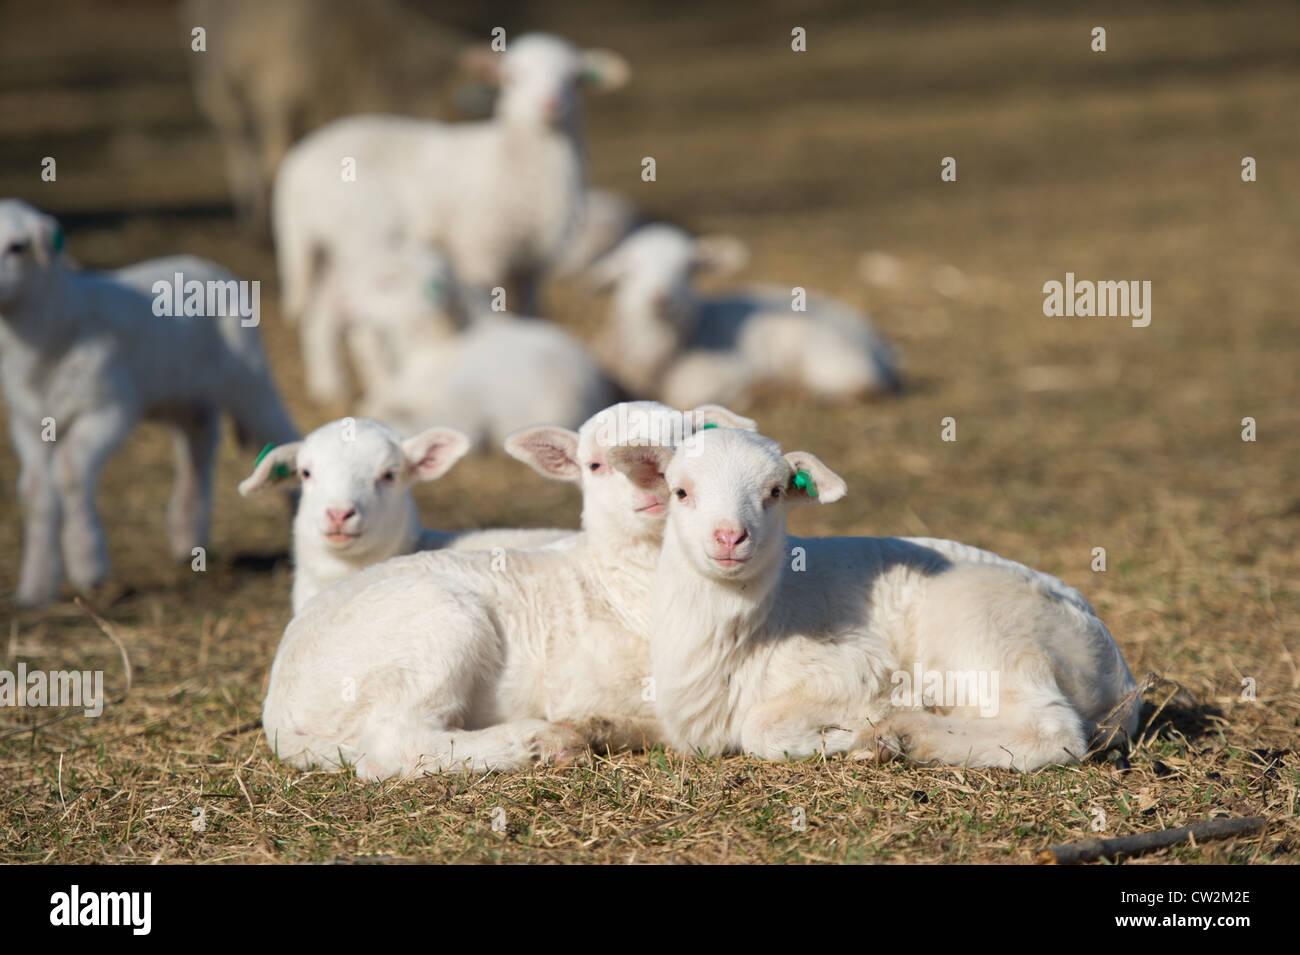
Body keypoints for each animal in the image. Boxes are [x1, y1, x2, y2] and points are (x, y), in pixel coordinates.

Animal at [0, 199, 298, 607]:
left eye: (17, 247)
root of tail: (207, 264)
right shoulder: (28, 422)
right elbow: (34, 491)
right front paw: (35, 588)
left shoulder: (109, 406)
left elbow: (70, 470)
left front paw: (87, 564)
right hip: (180, 394)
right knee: (199, 442)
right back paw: (187, 536)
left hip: (248, 376)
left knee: (277, 428)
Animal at [272, 32, 630, 402]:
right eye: (510, 77)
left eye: (576, 79)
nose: (550, 105)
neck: (511, 159)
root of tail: (295, 171)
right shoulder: (481, 253)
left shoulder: (532, 263)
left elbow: (533, 313)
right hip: (362, 238)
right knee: (363, 329)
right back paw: (380, 383)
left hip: (329, 249)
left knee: (320, 317)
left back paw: (329, 386)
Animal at [590, 224, 901, 407]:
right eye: (627, 270)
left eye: (690, 268)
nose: (660, 299)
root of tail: (880, 343)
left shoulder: (720, 376)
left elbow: (694, 396)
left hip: (829, 356)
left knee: (863, 388)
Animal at [608, 427, 1140, 772]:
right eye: (680, 492)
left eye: (776, 491)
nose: (729, 537)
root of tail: (1123, 682)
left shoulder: (851, 666)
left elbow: (761, 729)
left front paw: (844, 733)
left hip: (983, 625)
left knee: (1051, 733)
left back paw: (903, 734)